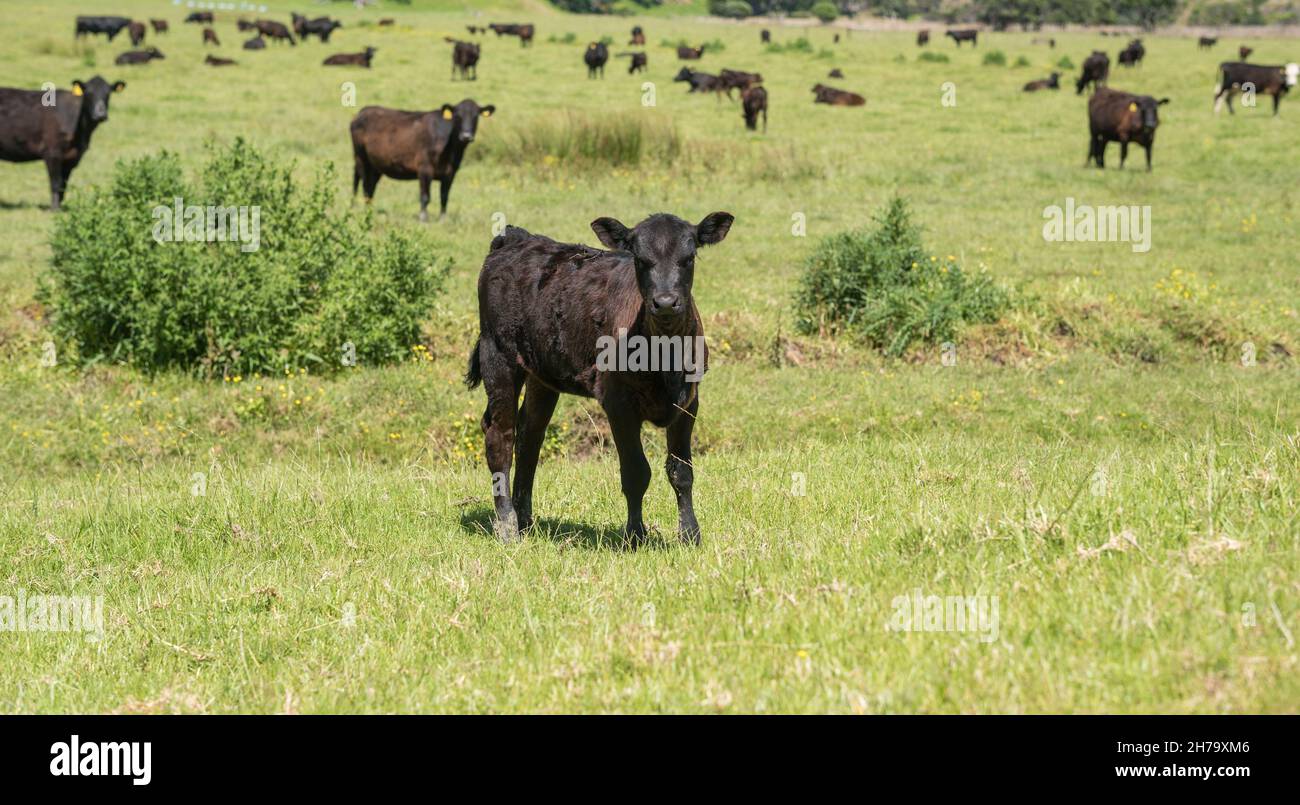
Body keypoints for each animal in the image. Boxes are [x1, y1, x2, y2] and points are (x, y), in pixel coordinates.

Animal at [0, 76, 125, 210]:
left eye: (108, 94)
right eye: (88, 93)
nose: (100, 114)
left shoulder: (72, 158)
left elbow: (63, 185)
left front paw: (61, 207)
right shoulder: (52, 152)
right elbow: (56, 182)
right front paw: (55, 209)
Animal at [349, 98, 494, 222]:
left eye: (476, 116)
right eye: (457, 116)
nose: (466, 136)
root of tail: (363, 111)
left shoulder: (450, 173)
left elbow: (444, 196)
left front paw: (442, 219)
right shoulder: (425, 168)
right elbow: (425, 196)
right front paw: (423, 218)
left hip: (376, 166)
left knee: (371, 187)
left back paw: (369, 209)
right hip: (361, 158)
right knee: (363, 184)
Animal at [465, 210, 734, 545]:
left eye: (689, 257)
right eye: (640, 259)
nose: (665, 301)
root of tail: (516, 237)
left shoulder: (689, 400)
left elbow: (682, 471)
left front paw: (690, 535)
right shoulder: (617, 402)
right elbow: (636, 473)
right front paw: (635, 536)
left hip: (542, 375)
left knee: (530, 435)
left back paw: (525, 520)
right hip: (498, 355)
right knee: (500, 436)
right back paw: (508, 526)